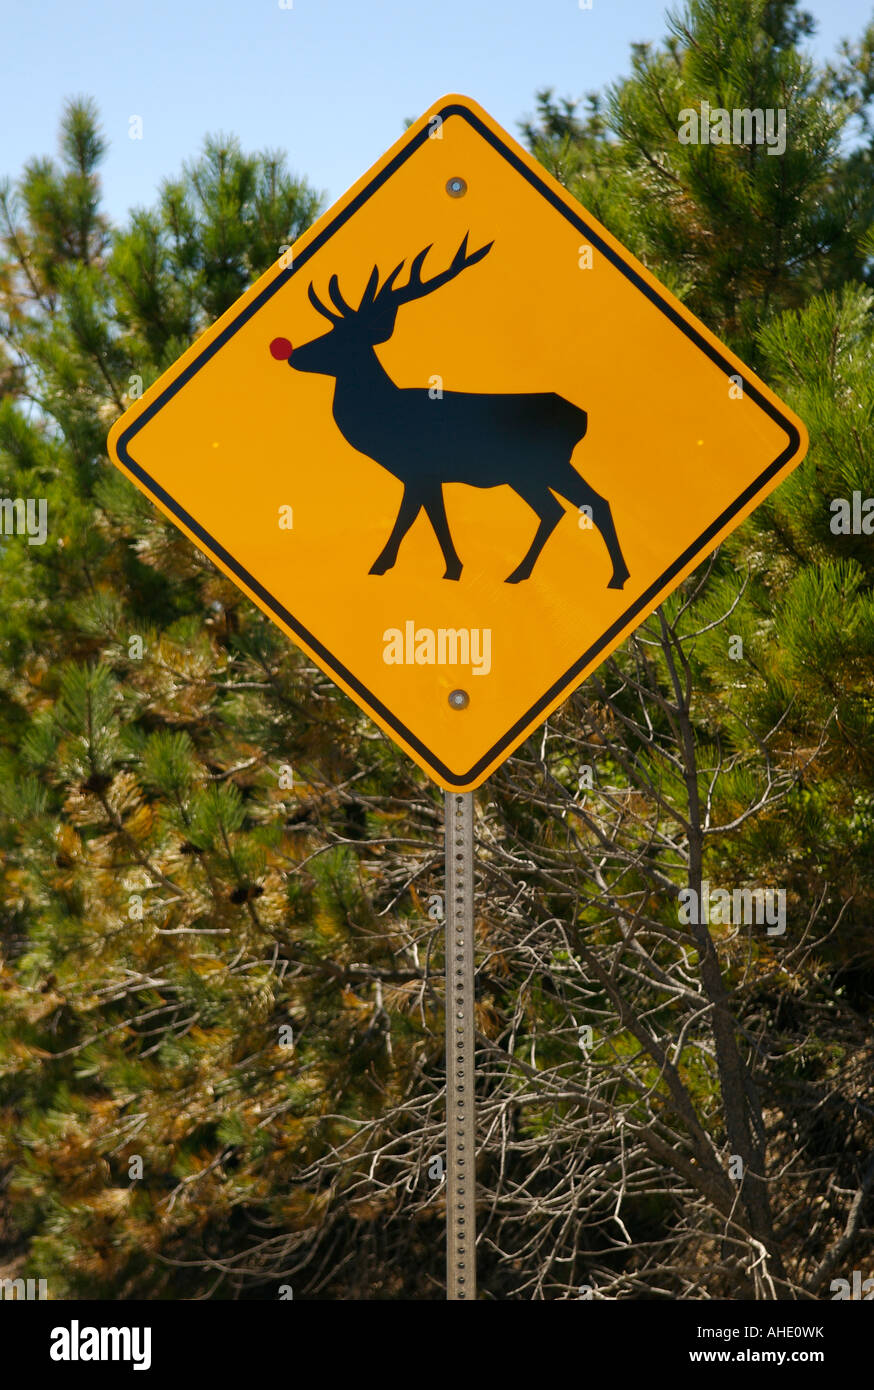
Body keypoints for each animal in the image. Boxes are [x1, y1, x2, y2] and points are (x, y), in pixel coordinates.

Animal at [269, 235, 629, 589]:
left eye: (339, 337)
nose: (294, 353)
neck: (386, 416)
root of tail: (582, 417)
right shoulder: (426, 475)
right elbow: (433, 518)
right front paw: (451, 569)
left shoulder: (419, 468)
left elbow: (412, 519)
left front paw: (383, 566)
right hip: (537, 471)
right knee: (573, 507)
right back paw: (552, 575)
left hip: (540, 466)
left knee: (574, 506)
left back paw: (592, 577)